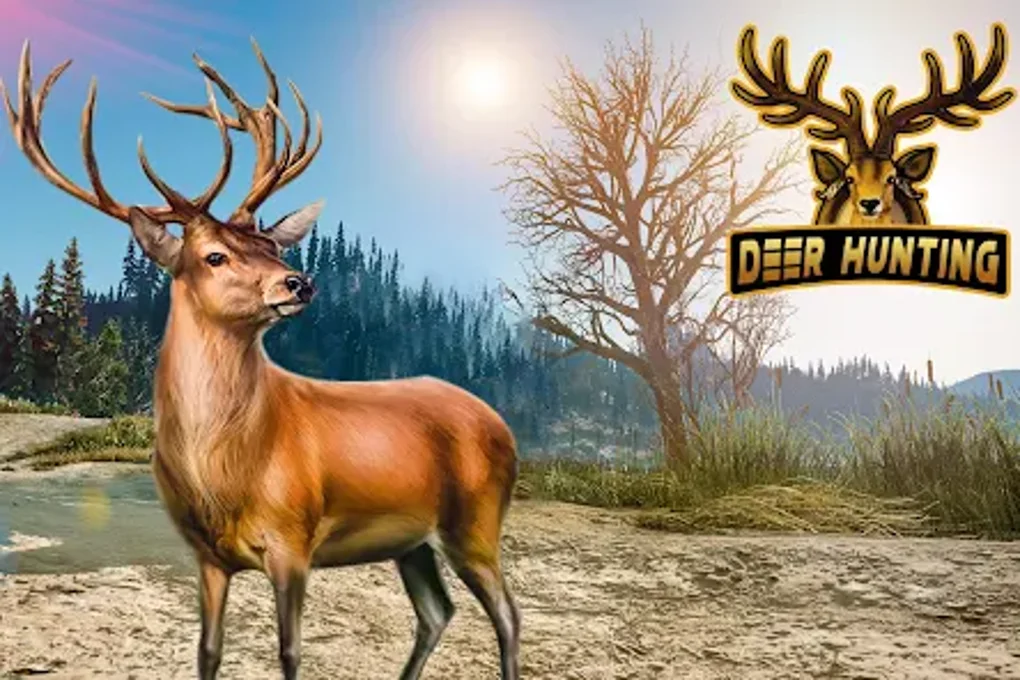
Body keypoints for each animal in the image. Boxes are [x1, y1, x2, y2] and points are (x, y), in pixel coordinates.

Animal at [1, 40, 521, 680]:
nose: (299, 282)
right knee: (437, 611)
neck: (225, 471)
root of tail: (501, 425)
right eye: (214, 256)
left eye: (271, 245)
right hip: (412, 541)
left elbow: (290, 652)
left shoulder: (293, 539)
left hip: (476, 520)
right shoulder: (206, 554)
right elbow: (207, 650)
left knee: (507, 615)